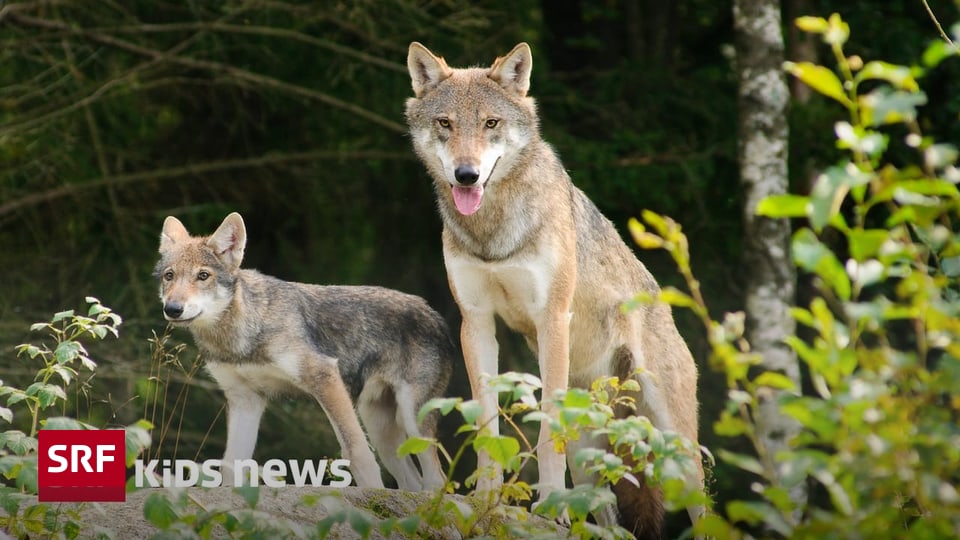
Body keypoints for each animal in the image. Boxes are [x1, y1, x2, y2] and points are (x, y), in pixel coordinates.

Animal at [155, 212, 453, 491]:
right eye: (170, 276)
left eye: (203, 276)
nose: (173, 309)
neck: (241, 337)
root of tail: (435, 314)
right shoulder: (245, 399)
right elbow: (232, 464)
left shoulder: (324, 376)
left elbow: (356, 453)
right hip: (382, 431)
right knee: (413, 483)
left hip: (412, 419)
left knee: (436, 479)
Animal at [405, 42, 705, 537]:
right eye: (445, 123)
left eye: (491, 123)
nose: (467, 175)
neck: (494, 233)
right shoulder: (476, 324)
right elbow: (487, 426)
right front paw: (485, 498)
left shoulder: (552, 320)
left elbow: (546, 431)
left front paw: (547, 504)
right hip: (592, 447)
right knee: (604, 508)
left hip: (672, 442)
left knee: (702, 505)